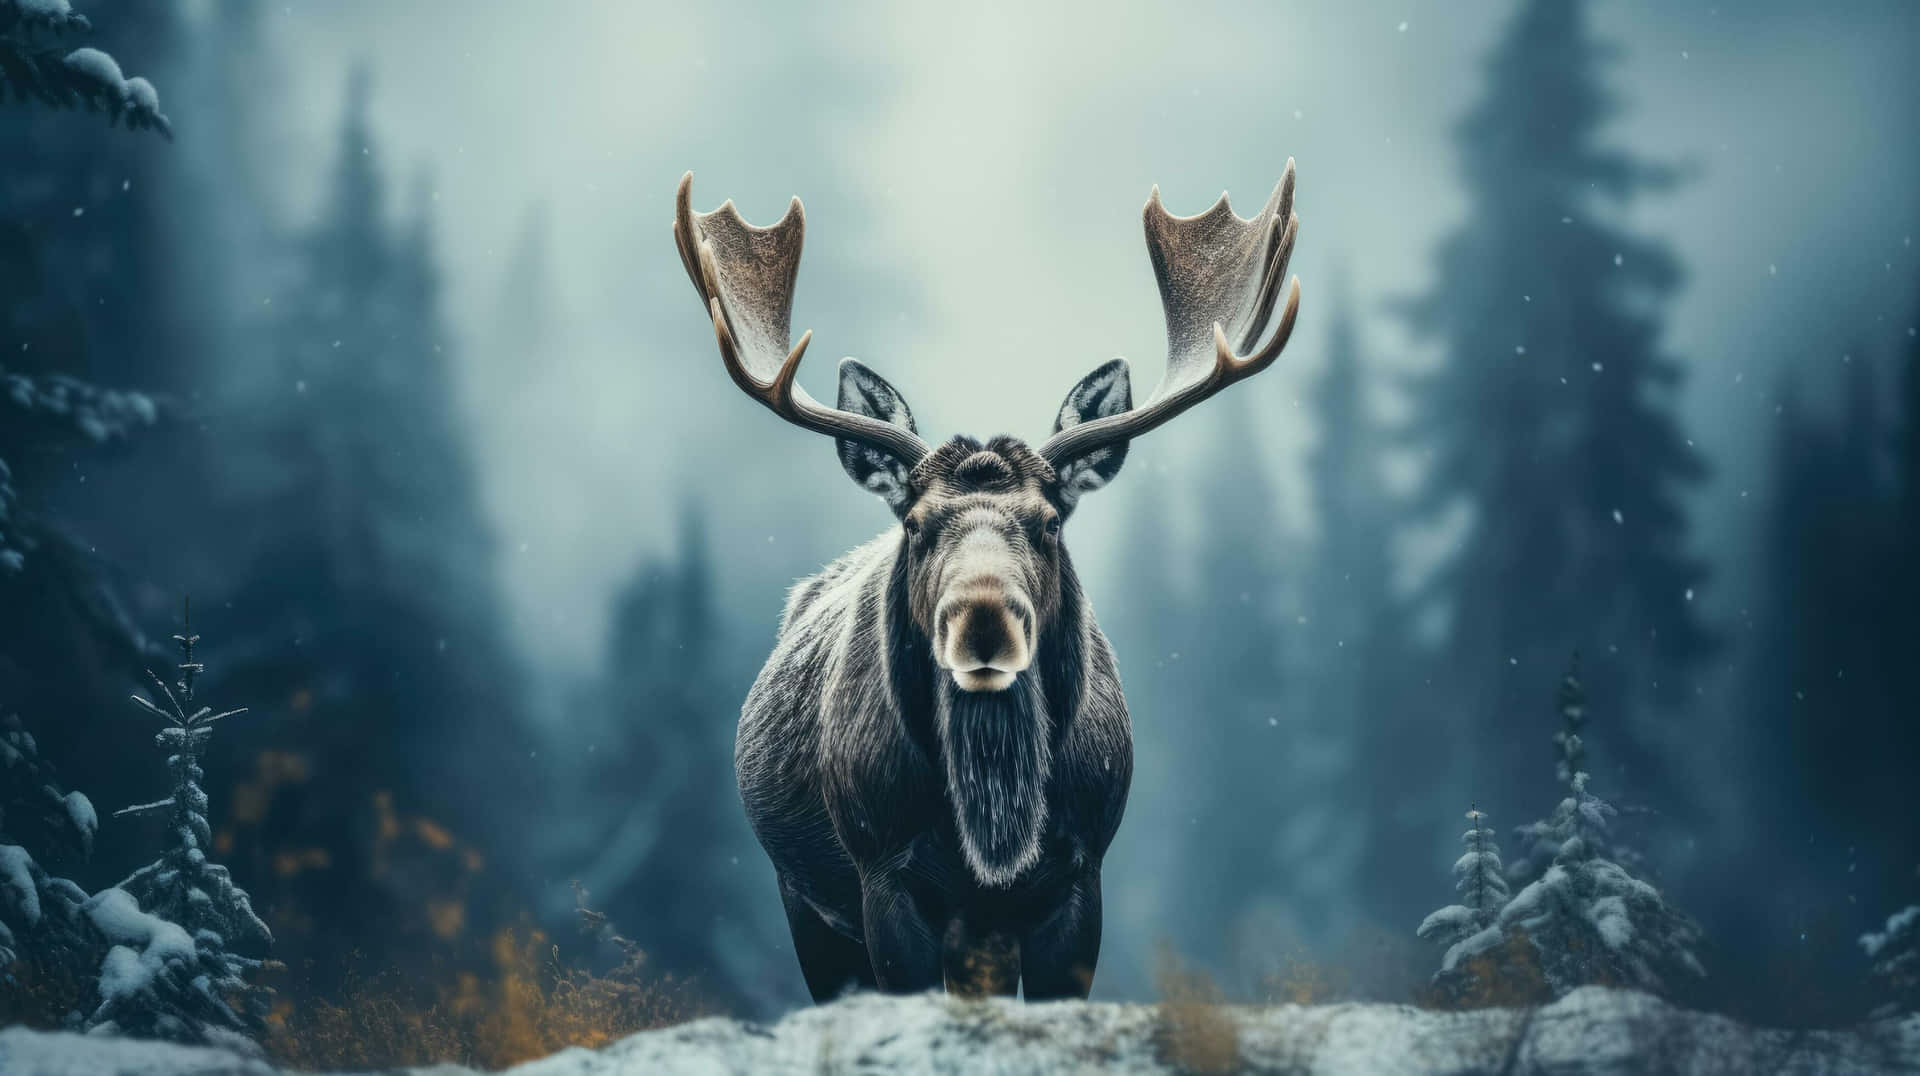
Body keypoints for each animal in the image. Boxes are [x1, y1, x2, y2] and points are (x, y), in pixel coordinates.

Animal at [672, 162, 1301, 1001]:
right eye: (915, 523)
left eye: (1051, 520)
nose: (983, 622)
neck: (995, 831)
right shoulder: (882, 873)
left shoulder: (1081, 875)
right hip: (803, 902)